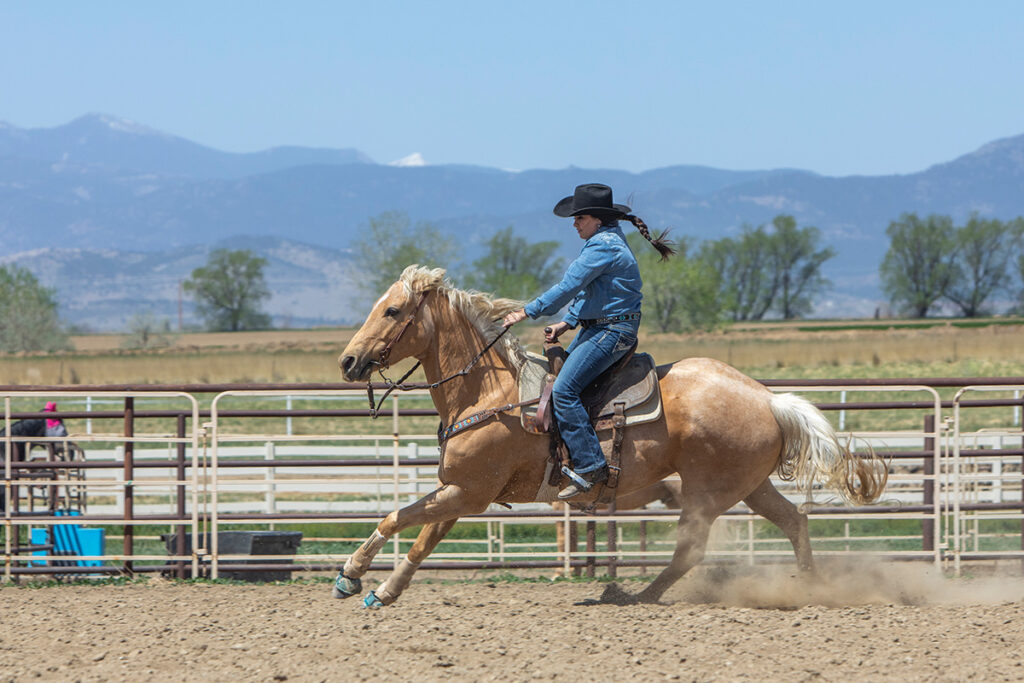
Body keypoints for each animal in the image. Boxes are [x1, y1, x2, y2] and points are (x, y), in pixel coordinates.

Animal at [333, 265, 887, 606]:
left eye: (391, 311)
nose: (348, 361)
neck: (488, 392)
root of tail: (767, 399)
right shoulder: (462, 491)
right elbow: (422, 537)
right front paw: (382, 591)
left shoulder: (468, 492)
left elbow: (396, 518)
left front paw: (352, 574)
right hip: (750, 486)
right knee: (794, 521)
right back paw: (811, 589)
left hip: (706, 492)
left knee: (692, 549)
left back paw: (635, 596)